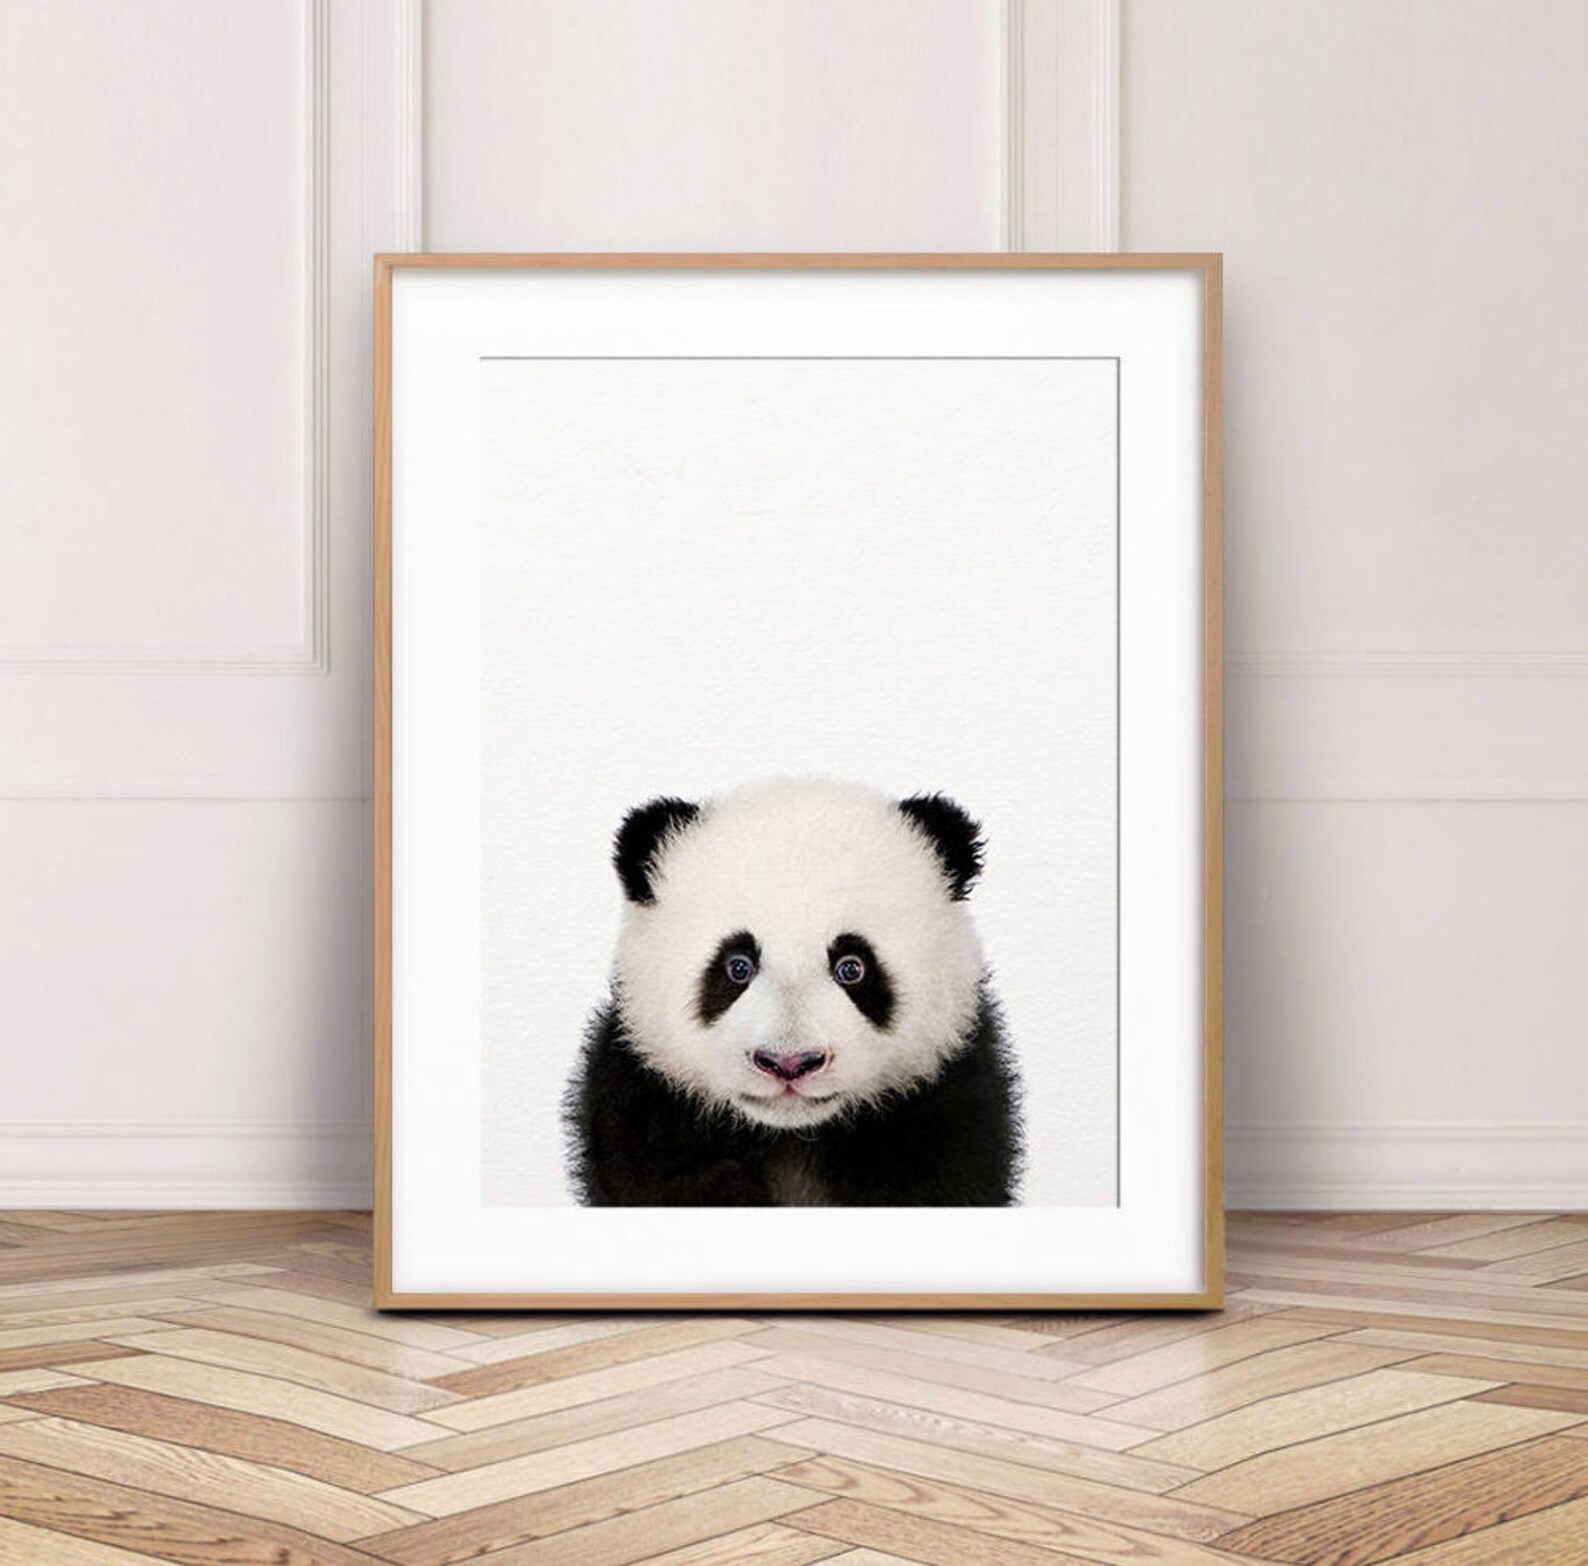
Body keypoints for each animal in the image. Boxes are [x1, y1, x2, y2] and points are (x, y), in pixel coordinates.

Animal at [564, 777, 1023, 1206]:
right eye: (737, 967)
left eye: (852, 968)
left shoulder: (947, 1104)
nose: (789, 1063)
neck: (790, 1135)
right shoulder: (646, 1102)